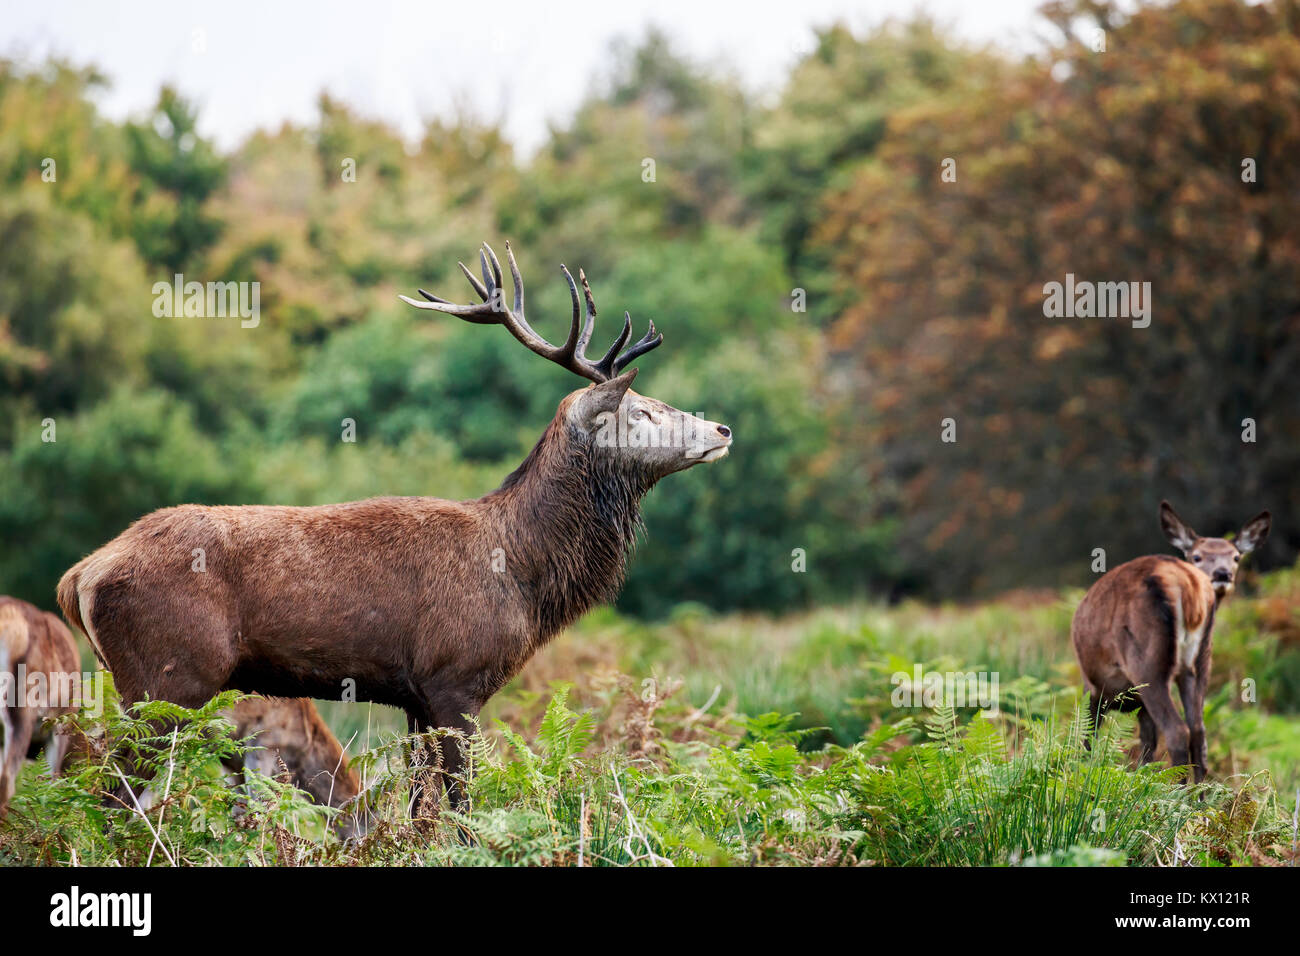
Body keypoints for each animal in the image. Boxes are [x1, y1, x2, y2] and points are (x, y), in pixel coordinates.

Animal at [57, 241, 732, 810]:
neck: (522, 573)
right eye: (640, 411)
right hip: (168, 676)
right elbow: (460, 806)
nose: (723, 429)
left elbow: (420, 809)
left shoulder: (414, 698)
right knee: (104, 795)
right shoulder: (455, 679)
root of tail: (81, 576)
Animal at [1071, 500, 1270, 782]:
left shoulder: (1094, 688)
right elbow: (1147, 746)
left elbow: (1088, 738)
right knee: (1198, 730)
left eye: (1236, 557)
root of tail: (1185, 584)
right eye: (1197, 556)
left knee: (1177, 730)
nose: (1223, 574)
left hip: (1146, 661)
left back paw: (1176, 790)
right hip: (1200, 661)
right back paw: (1196, 793)